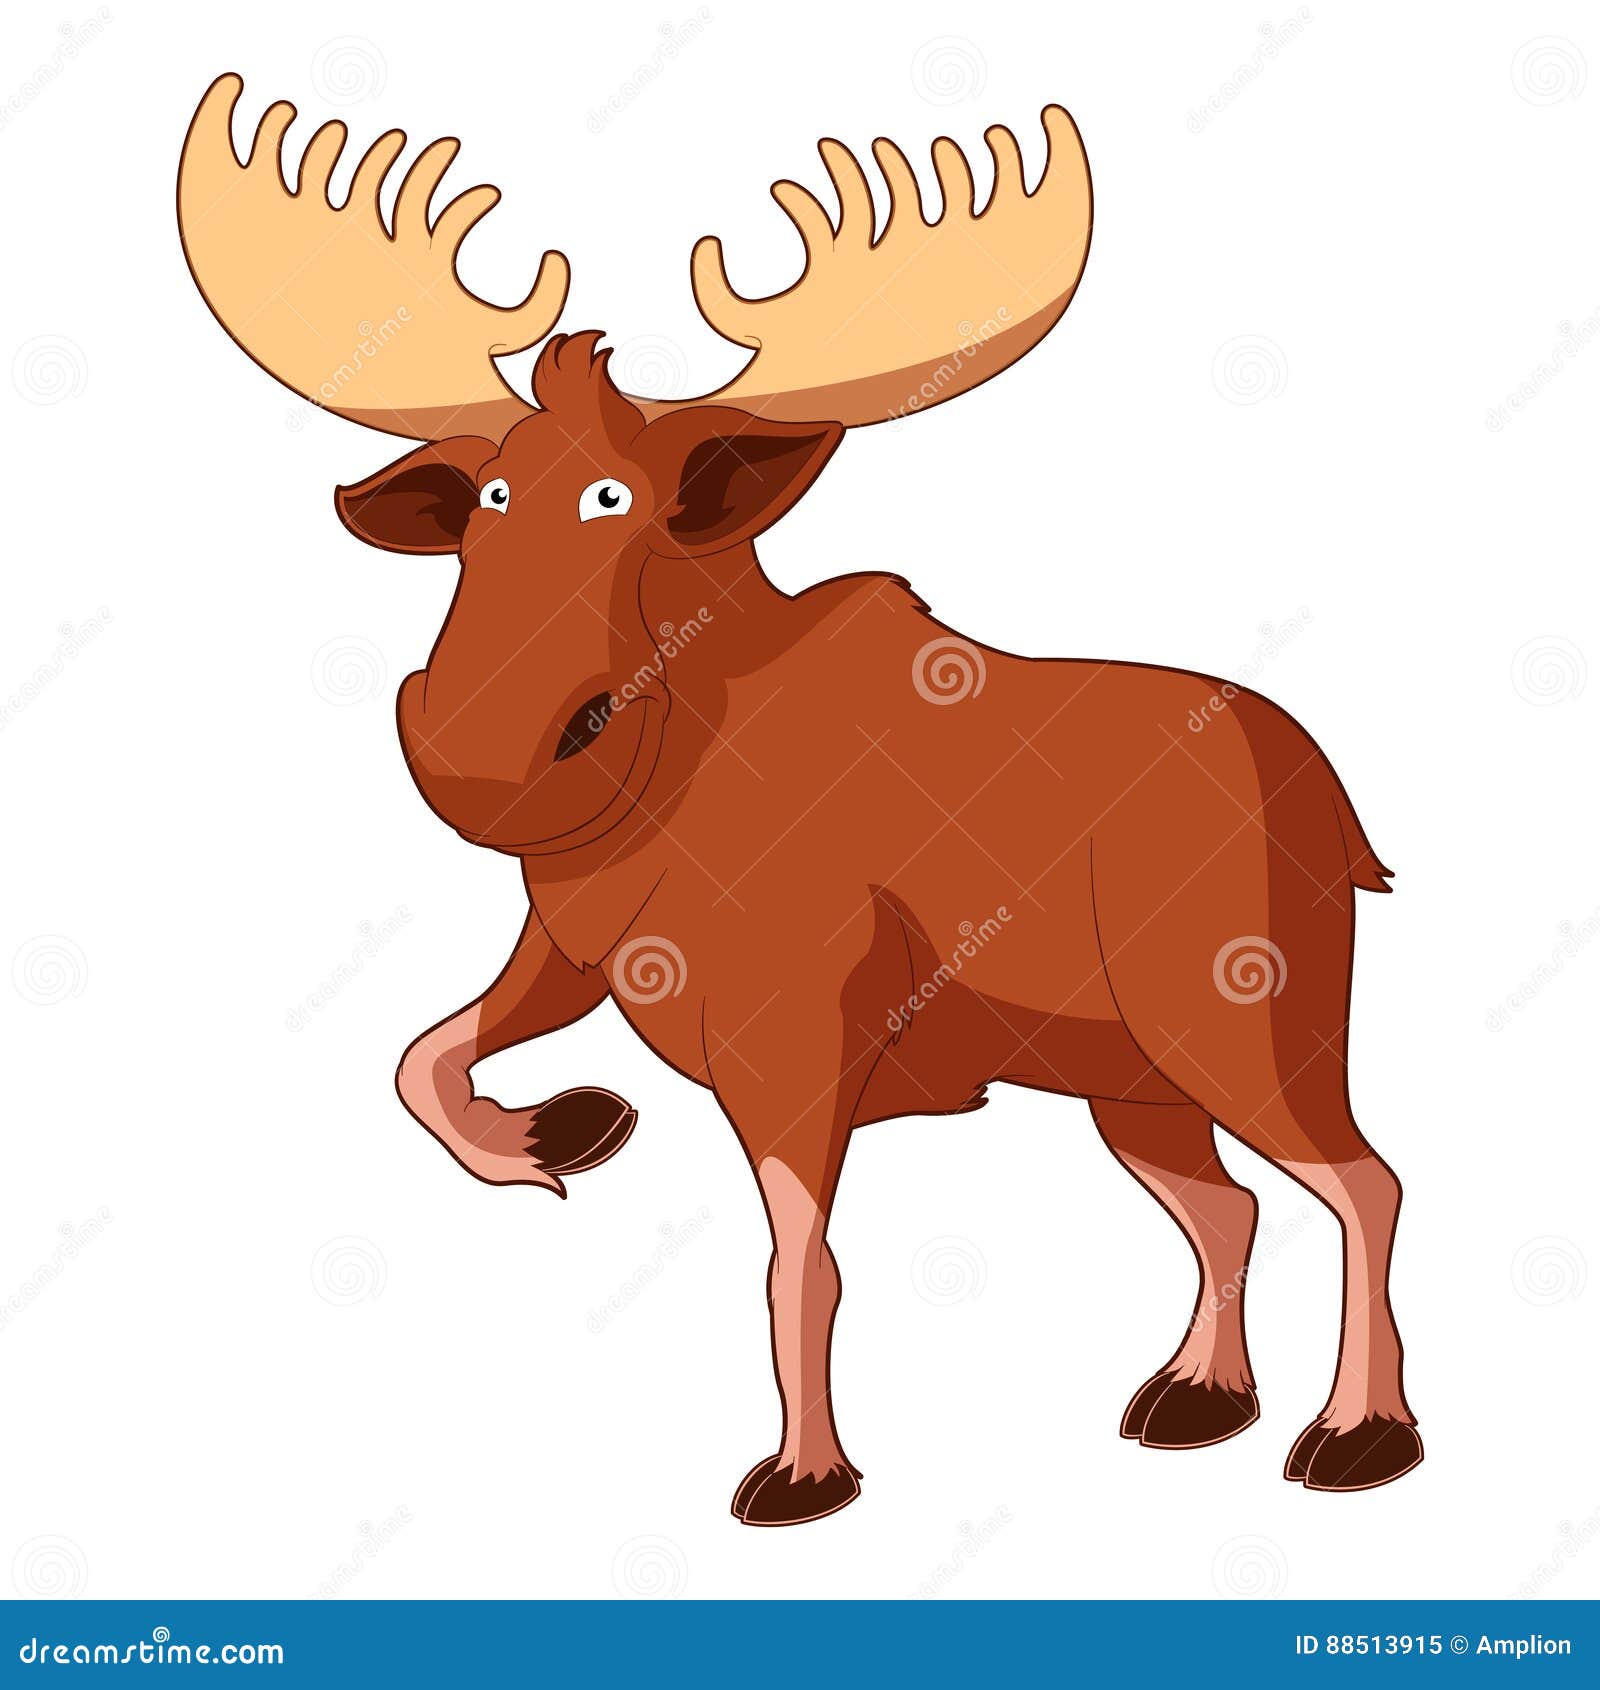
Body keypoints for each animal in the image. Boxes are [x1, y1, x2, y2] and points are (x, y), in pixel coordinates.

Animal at [178, 74, 1422, 1525]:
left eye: (618, 496)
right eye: (487, 495)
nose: (481, 751)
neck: (658, 797)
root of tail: (1334, 805)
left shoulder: (793, 1041)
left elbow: (800, 1267)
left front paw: (806, 1467)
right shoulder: (574, 952)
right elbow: (423, 1060)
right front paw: (562, 1127)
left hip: (1235, 1021)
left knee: (1363, 1181)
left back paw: (1360, 1429)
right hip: (1128, 1076)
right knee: (1229, 1207)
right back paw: (1201, 1393)